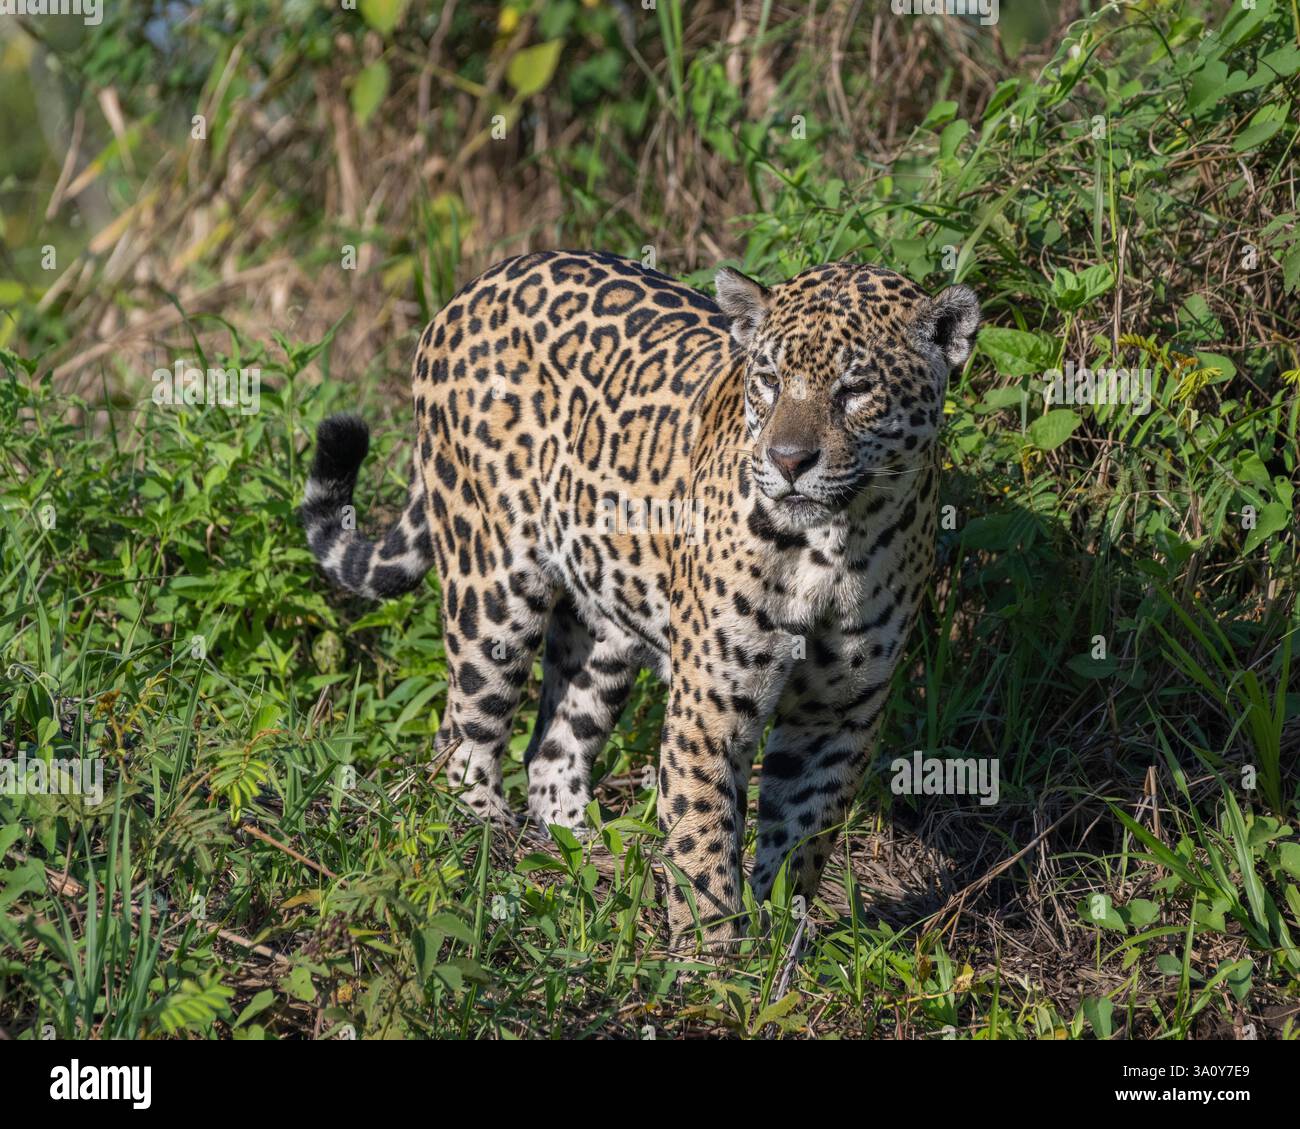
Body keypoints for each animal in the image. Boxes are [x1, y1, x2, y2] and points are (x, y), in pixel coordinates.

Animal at [302, 250, 979, 947]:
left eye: (856, 389)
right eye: (767, 380)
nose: (788, 460)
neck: (832, 544)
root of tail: (475, 285)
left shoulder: (837, 715)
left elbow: (801, 834)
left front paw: (778, 942)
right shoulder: (712, 704)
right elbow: (702, 832)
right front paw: (713, 952)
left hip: (602, 626)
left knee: (549, 753)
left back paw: (585, 857)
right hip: (490, 586)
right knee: (463, 737)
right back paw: (488, 843)